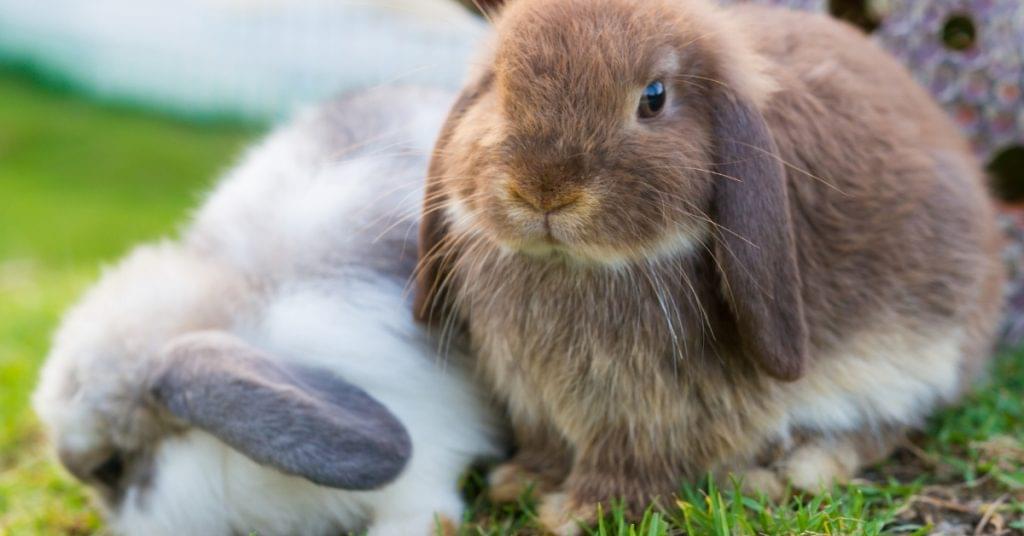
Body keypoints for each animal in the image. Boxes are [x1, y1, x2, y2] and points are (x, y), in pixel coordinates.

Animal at [413, 0, 1005, 533]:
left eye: (654, 98)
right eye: (497, 85)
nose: (543, 191)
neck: (577, 263)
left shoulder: (655, 414)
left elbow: (633, 461)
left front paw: (580, 512)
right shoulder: (537, 402)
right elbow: (549, 444)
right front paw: (521, 481)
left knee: (886, 427)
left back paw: (794, 470)